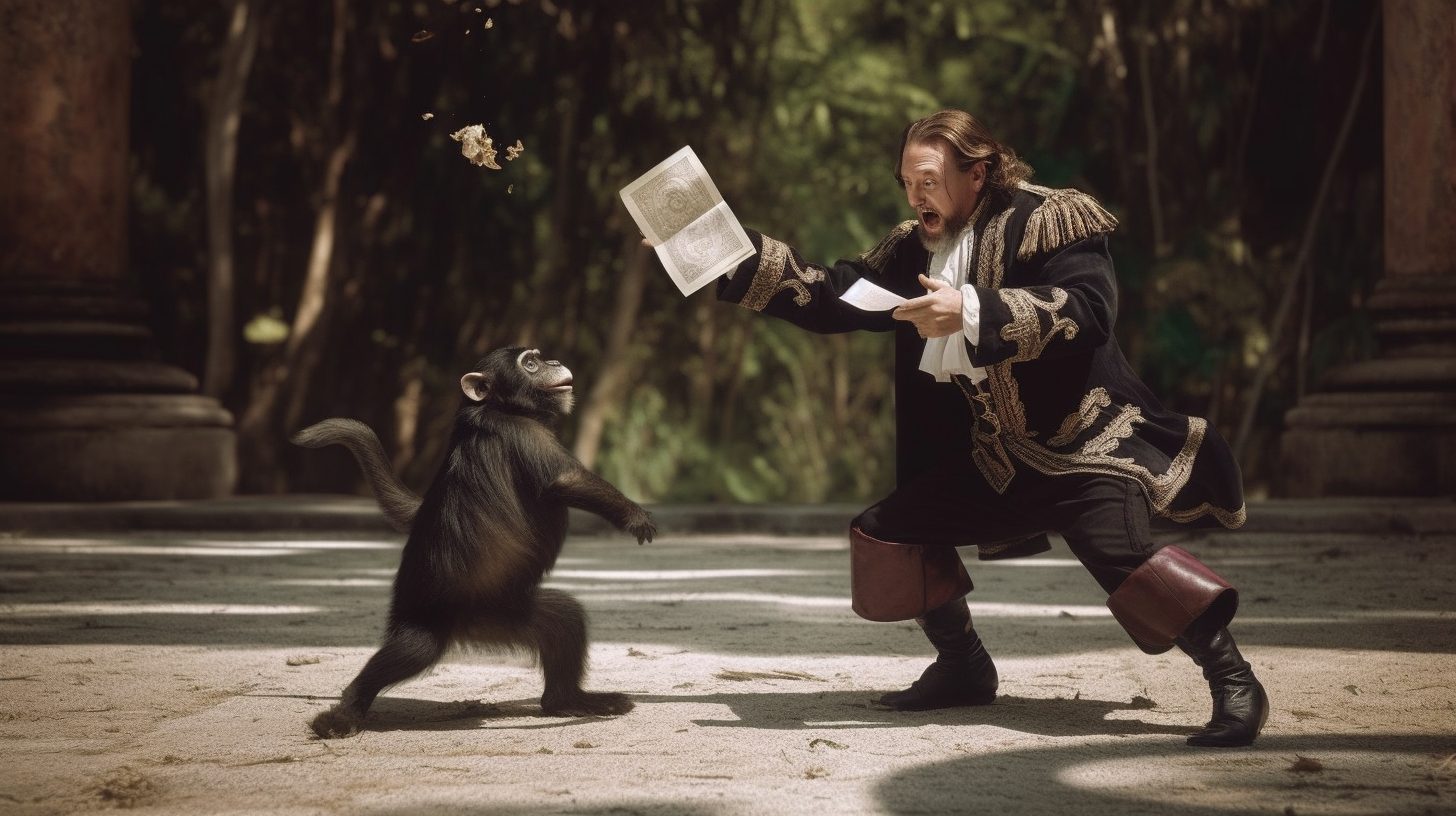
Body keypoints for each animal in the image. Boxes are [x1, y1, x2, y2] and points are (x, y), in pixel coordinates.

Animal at [292, 347, 656, 738]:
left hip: (502, 614)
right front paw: (634, 515)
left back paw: (569, 701)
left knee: (563, 618)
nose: (554, 362)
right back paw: (345, 712)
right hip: (430, 612)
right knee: (415, 648)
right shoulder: (522, 432)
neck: (503, 406)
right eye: (530, 363)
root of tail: (466, 627)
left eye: (539, 357)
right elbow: (567, 480)